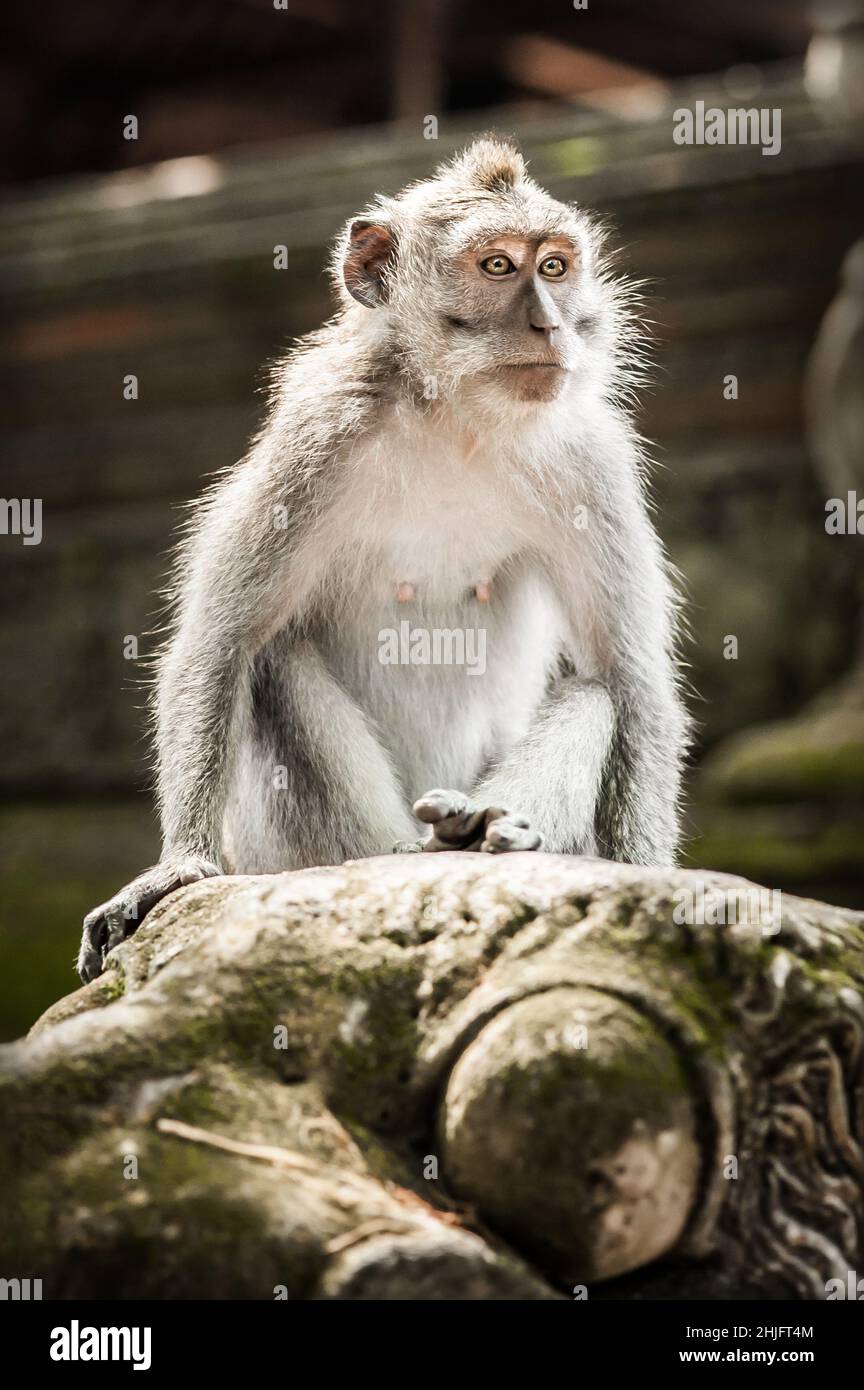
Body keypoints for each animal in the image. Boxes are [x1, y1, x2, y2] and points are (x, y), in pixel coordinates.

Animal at [77, 137, 690, 983]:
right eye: (497, 266)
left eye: (555, 267)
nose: (550, 324)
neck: (456, 420)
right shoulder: (317, 436)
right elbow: (222, 644)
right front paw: (178, 867)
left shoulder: (590, 460)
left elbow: (631, 680)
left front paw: (643, 879)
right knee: (270, 665)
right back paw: (410, 852)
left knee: (597, 693)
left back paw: (484, 827)